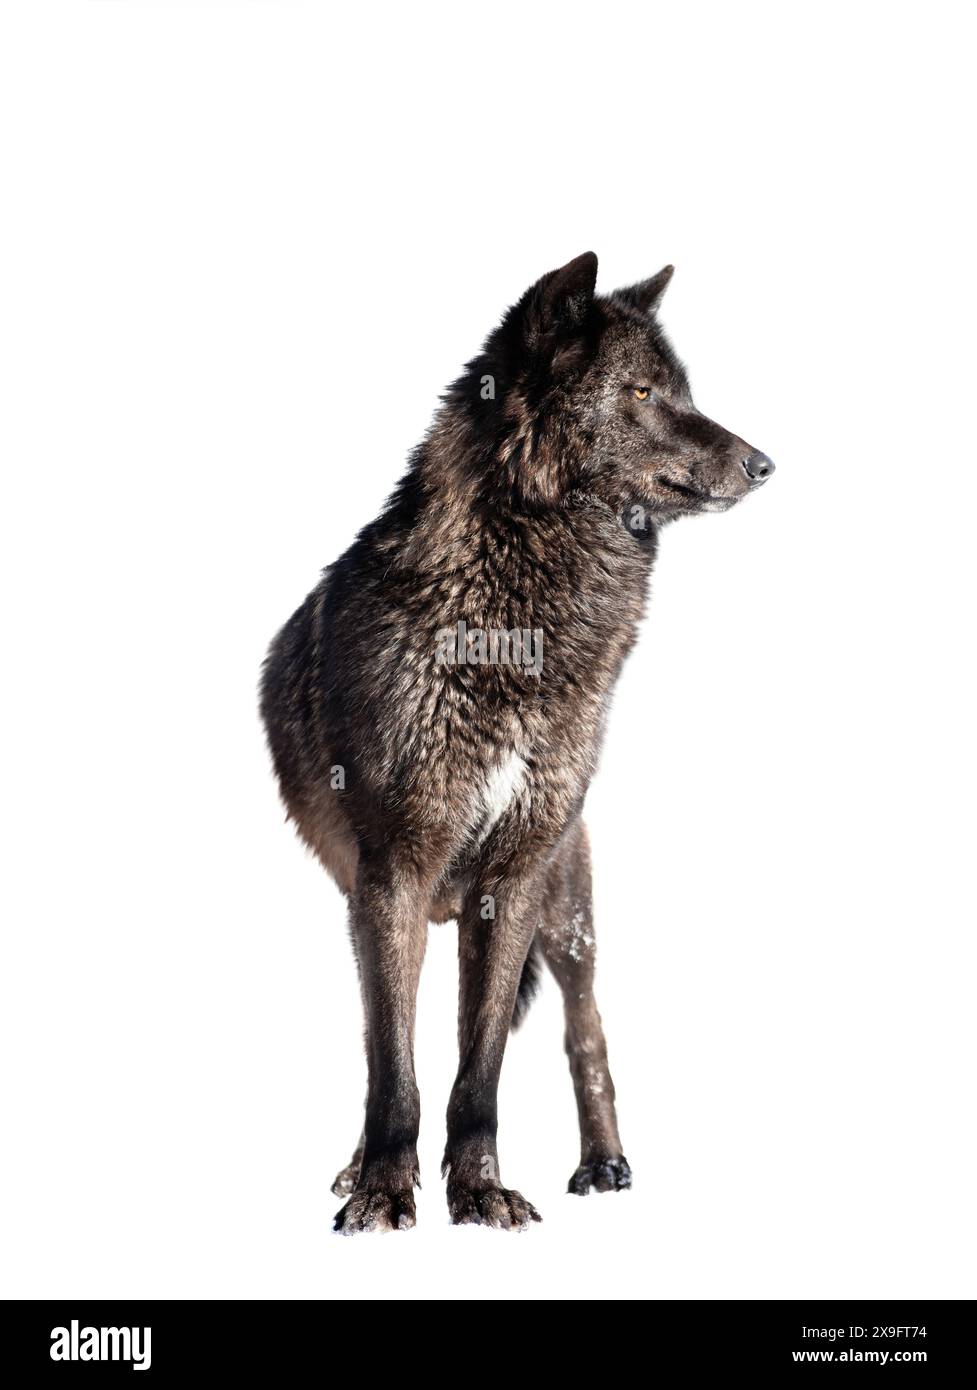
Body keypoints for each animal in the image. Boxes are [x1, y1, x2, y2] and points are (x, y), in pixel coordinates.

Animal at [260, 253, 774, 1234]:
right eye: (642, 391)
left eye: (683, 391)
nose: (763, 464)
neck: (516, 620)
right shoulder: (391, 876)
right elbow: (393, 1066)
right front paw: (383, 1191)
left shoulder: (514, 878)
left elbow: (481, 1070)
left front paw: (479, 1191)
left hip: (566, 911)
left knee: (586, 1029)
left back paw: (603, 1163)